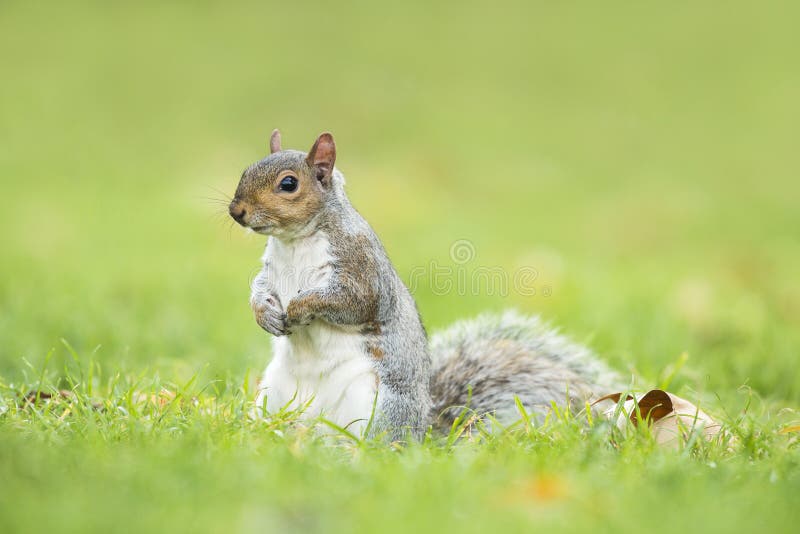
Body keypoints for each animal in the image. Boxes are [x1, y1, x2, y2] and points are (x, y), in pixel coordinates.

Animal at [229, 130, 620, 441]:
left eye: (289, 184)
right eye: (246, 170)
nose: (236, 211)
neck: (295, 241)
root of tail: (422, 432)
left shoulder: (361, 268)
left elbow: (350, 302)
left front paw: (299, 307)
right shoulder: (271, 271)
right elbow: (259, 288)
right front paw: (264, 312)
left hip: (374, 405)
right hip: (271, 394)